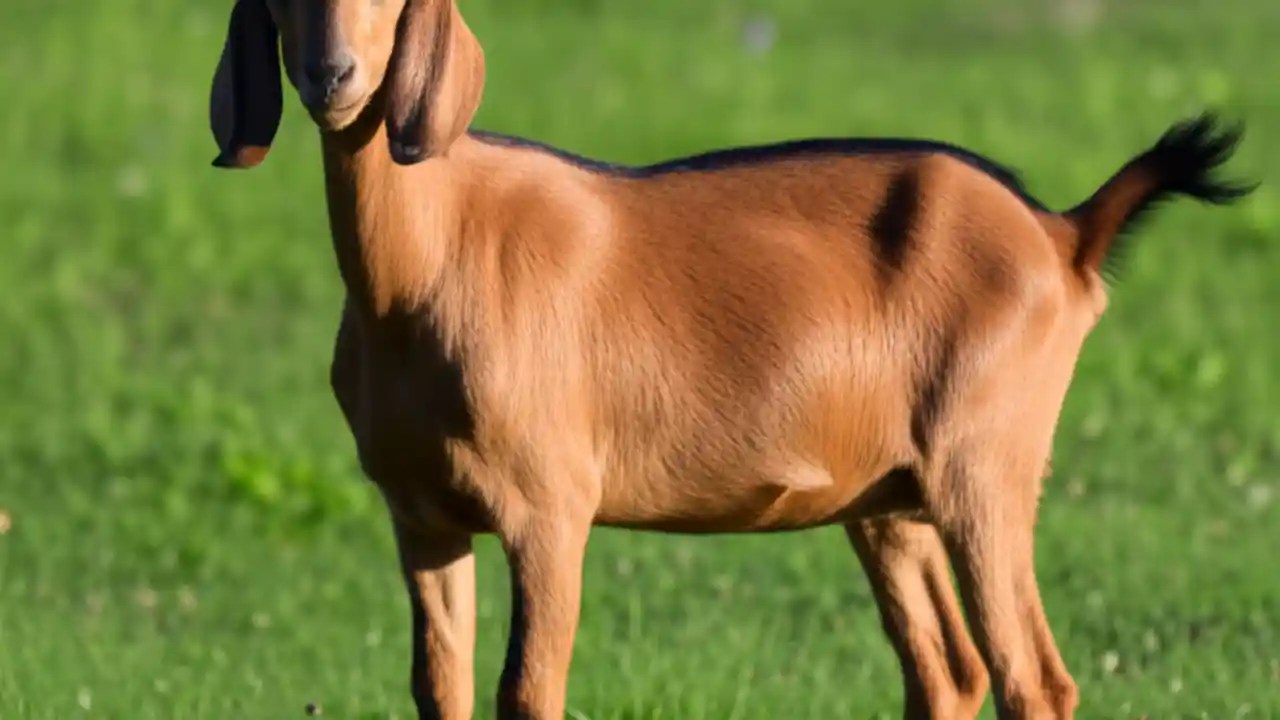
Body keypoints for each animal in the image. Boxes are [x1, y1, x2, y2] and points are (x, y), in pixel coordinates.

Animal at [208, 1, 1252, 718]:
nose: (331, 76)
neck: (429, 261)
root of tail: (1063, 237)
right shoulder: (421, 515)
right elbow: (441, 689)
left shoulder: (550, 507)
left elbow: (526, 691)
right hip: (888, 502)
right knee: (947, 672)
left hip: (984, 471)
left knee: (1033, 678)